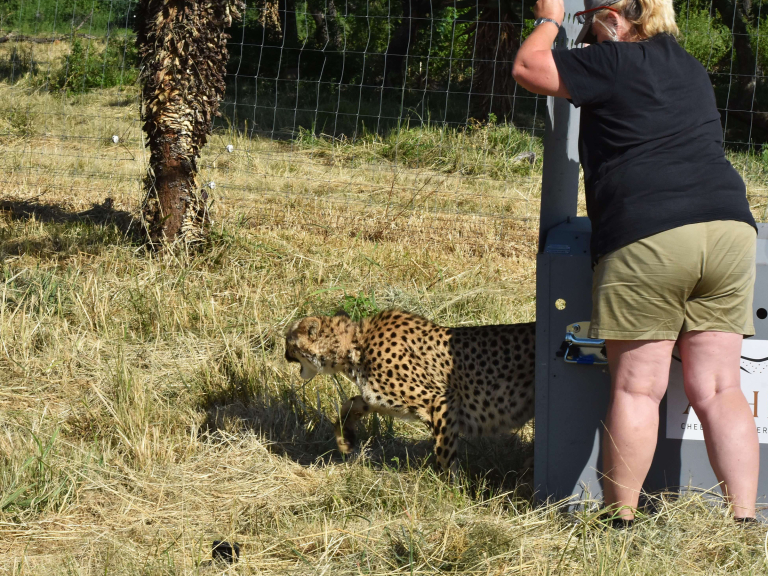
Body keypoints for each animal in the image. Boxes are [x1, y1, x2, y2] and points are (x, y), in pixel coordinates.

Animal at [284, 309, 535, 473]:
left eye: (288, 340)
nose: (285, 355)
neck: (355, 346)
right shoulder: (378, 398)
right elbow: (352, 402)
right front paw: (345, 439)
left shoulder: (441, 398)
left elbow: (444, 450)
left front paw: (450, 492)